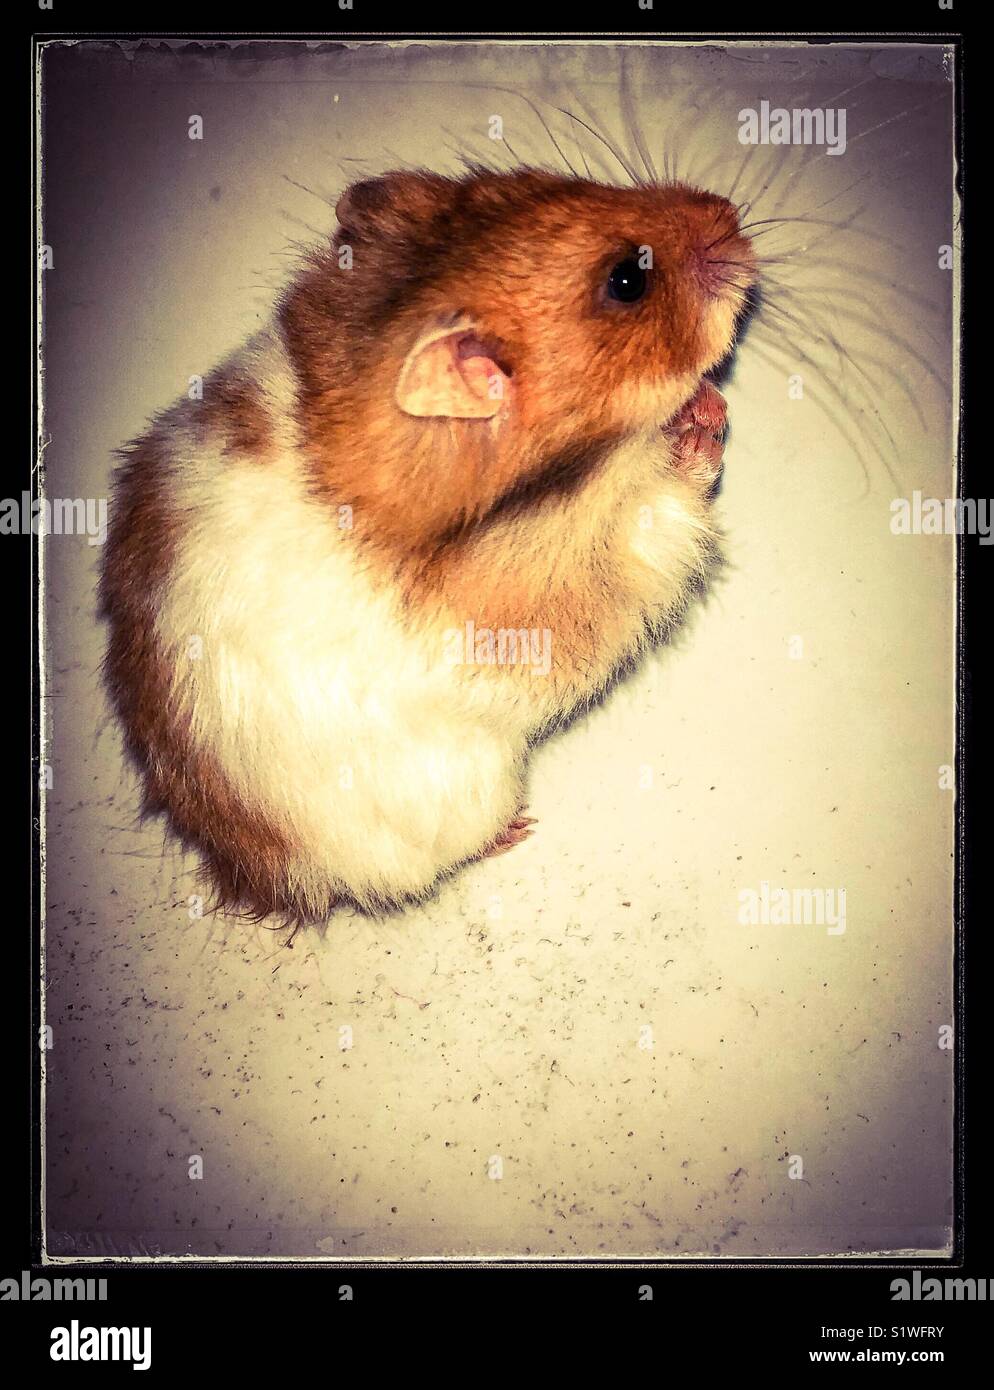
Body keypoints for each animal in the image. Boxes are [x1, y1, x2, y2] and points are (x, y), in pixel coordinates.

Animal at [100, 167, 755, 921]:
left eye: (552, 179)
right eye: (628, 281)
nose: (732, 215)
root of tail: (247, 870)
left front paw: (706, 402)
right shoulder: (601, 577)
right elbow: (670, 514)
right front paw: (706, 416)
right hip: (467, 792)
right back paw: (518, 829)